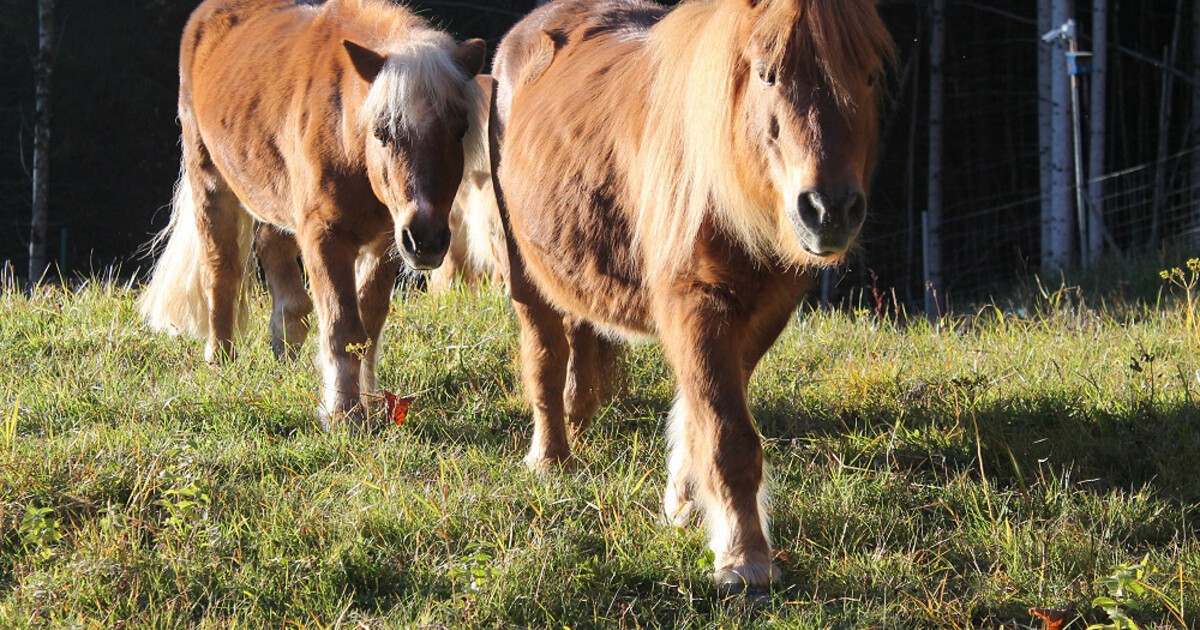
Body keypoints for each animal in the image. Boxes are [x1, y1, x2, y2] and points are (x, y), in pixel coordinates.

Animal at [137, 0, 486, 430]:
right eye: (382, 132)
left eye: (459, 130)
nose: (427, 239)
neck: (345, 134)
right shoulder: (325, 237)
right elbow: (343, 327)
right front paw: (343, 415)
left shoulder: (386, 242)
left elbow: (368, 325)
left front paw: (368, 402)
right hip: (210, 181)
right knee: (221, 273)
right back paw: (220, 361)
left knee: (276, 259)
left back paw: (284, 347)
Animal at [490, 0, 893, 590]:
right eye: (768, 74)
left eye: (867, 75)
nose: (829, 210)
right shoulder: (695, 301)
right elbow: (728, 436)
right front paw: (745, 560)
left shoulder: (765, 308)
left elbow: (702, 411)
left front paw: (681, 502)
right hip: (525, 270)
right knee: (545, 353)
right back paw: (551, 459)